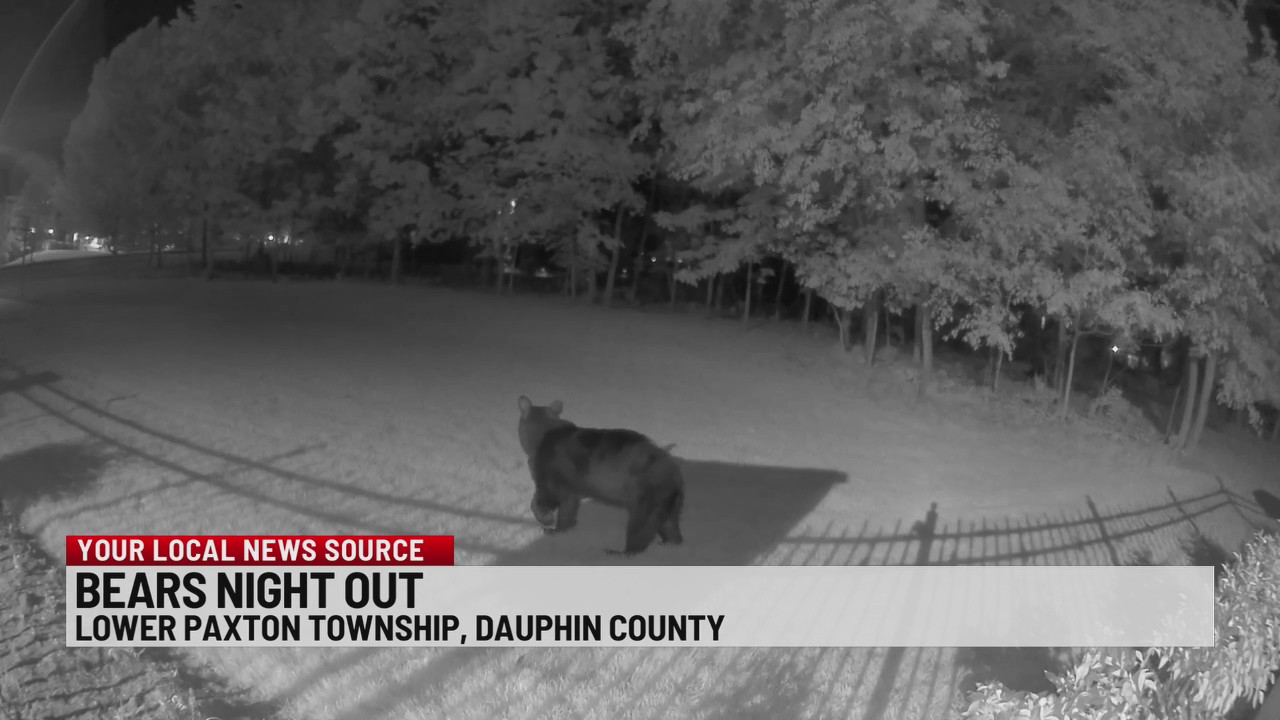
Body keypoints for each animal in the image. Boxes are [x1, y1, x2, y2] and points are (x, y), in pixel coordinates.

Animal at [516, 395, 685, 556]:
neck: (546, 432)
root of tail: (673, 472)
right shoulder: (570, 492)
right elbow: (567, 513)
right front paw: (562, 529)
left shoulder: (551, 485)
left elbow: (537, 503)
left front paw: (547, 521)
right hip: (666, 508)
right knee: (673, 534)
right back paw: (668, 544)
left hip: (644, 508)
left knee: (637, 543)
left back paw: (617, 553)